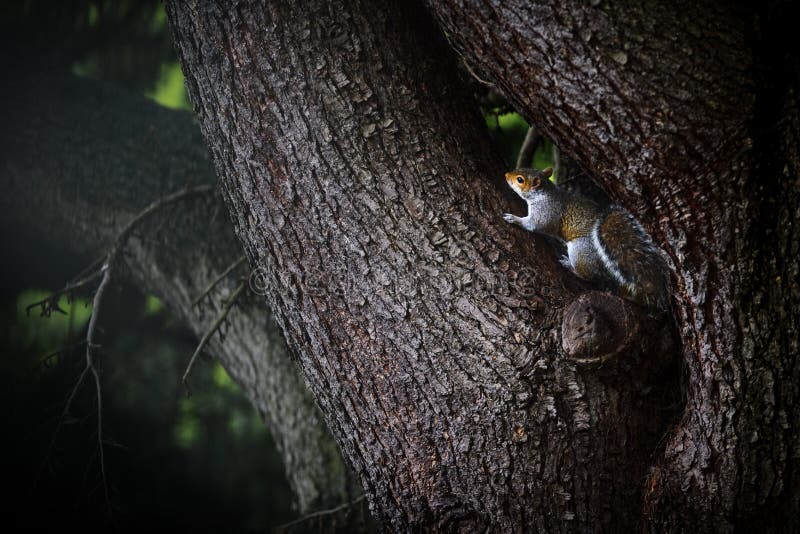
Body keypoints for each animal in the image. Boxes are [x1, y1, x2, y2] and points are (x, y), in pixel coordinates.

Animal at [502, 167, 668, 312]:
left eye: (520, 179)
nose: (506, 175)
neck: (543, 193)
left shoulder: (546, 210)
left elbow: (535, 224)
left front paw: (514, 219)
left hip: (580, 250)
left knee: (587, 276)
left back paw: (570, 265)